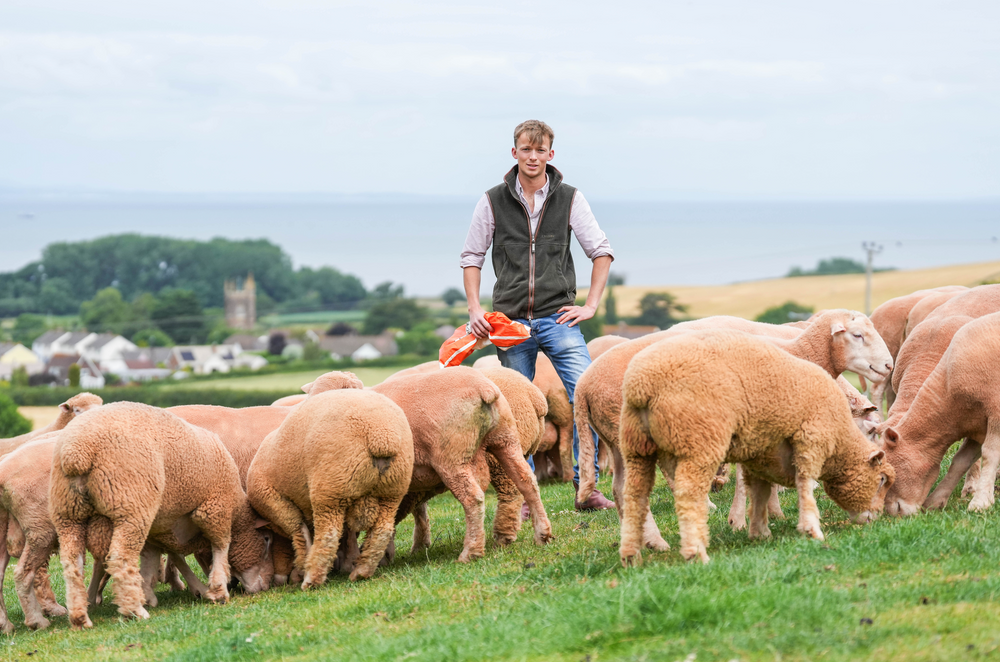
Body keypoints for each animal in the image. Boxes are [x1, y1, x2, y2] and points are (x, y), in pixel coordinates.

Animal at [49, 402, 273, 629]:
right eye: (266, 539)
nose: (268, 585)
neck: (237, 507)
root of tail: (76, 451)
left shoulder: (158, 531)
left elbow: (151, 562)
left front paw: (149, 594)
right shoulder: (214, 508)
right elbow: (221, 546)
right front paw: (218, 590)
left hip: (68, 514)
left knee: (72, 564)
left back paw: (80, 617)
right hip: (130, 507)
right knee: (121, 558)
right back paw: (134, 611)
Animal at [247, 389, 414, 586]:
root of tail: (381, 436)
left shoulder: (273, 499)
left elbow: (299, 531)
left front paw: (301, 568)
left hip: (330, 490)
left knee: (328, 536)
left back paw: (312, 580)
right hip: (393, 491)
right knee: (382, 531)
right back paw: (361, 572)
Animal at [575, 310, 892, 549]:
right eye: (857, 335)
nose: (889, 365)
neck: (799, 351)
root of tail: (583, 385)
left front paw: (766, 512)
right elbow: (747, 478)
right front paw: (743, 519)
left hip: (616, 440)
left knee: (620, 489)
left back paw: (645, 540)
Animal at [882, 312, 1000, 516]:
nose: (893, 513)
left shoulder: (996, 415)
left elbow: (989, 455)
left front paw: (981, 502)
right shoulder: (977, 427)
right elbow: (960, 462)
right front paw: (935, 501)